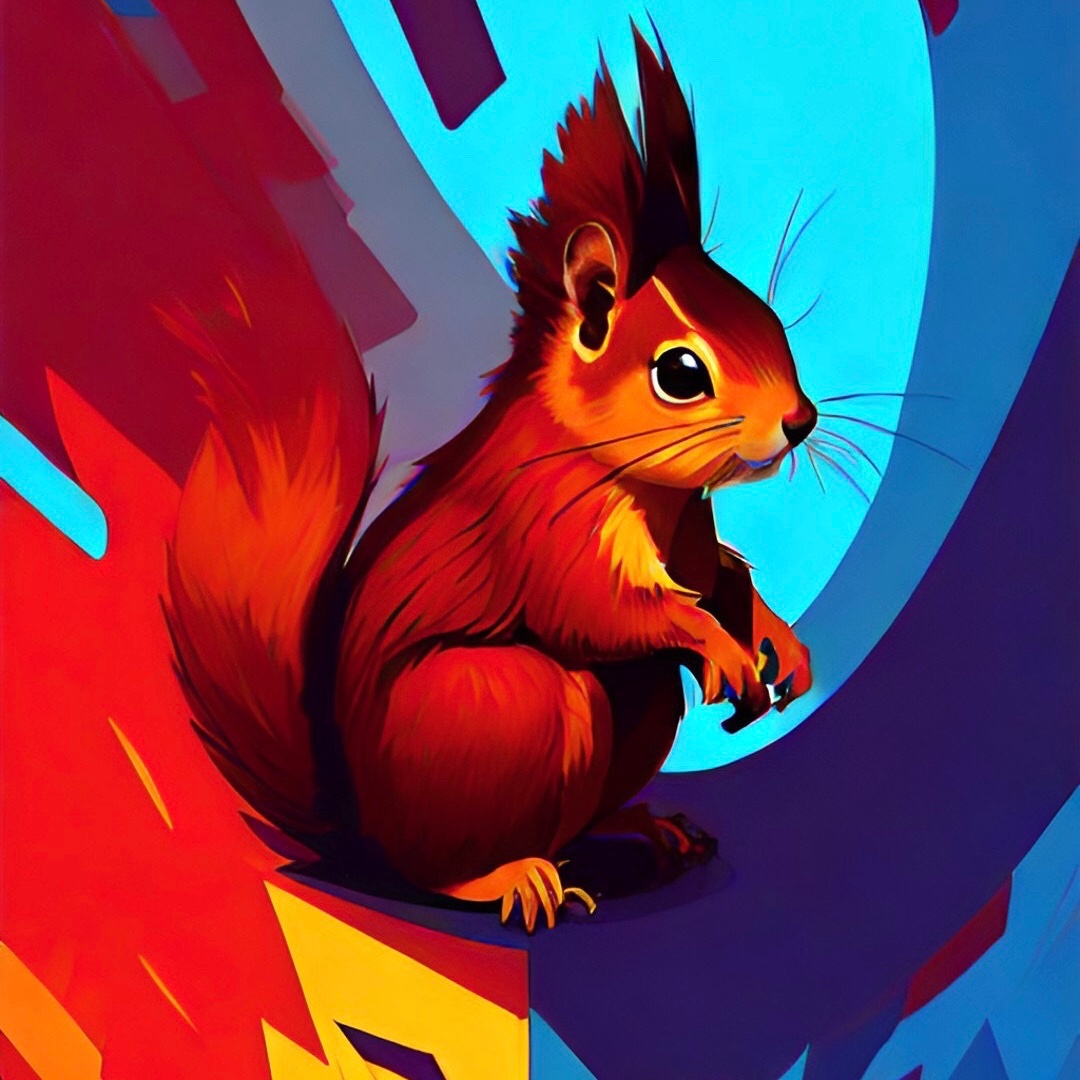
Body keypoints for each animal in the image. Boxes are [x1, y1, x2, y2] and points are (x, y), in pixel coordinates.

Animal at [163, 27, 815, 932]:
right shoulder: (545, 521)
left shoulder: (692, 537)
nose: (801, 420)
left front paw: (777, 639)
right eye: (681, 373)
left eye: (767, 315)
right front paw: (717, 645)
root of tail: (364, 828)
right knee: (439, 859)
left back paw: (646, 824)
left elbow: (722, 577)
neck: (652, 489)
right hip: (512, 711)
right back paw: (505, 877)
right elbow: (605, 612)